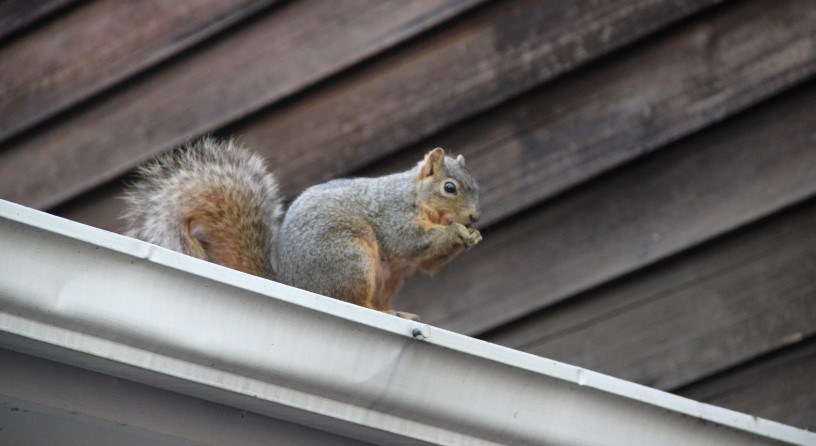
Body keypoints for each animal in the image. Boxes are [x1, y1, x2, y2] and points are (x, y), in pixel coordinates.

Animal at [121, 137, 482, 320]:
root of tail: (294, 283)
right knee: (351, 300)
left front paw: (472, 237)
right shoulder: (393, 213)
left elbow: (428, 264)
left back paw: (397, 313)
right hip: (349, 257)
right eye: (450, 188)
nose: (475, 217)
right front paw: (455, 233)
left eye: (476, 186)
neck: (416, 196)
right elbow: (410, 242)